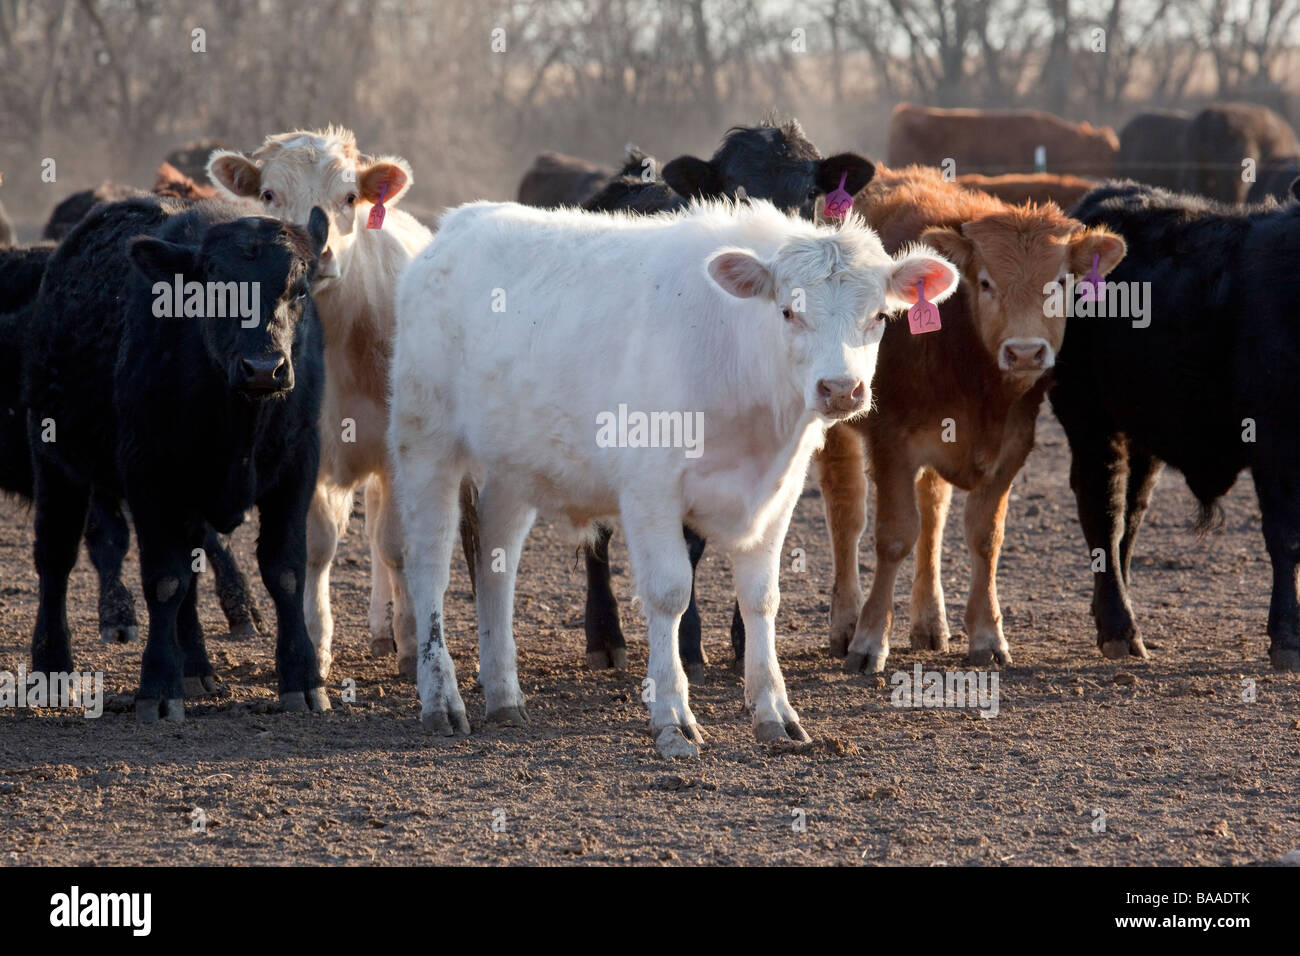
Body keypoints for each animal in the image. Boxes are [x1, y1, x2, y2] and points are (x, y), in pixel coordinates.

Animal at [23, 196, 330, 720]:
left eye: (300, 289)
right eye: (214, 292)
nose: (264, 368)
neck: (238, 422)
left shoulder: (298, 465)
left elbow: (285, 571)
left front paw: (303, 680)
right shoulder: (148, 473)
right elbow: (164, 580)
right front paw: (158, 687)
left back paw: (198, 669)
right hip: (55, 460)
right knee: (55, 560)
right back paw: (52, 669)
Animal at [207, 126, 472, 681]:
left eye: (350, 197)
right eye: (269, 194)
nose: (319, 252)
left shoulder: (397, 450)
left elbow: (395, 544)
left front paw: (411, 642)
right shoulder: (305, 451)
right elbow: (315, 548)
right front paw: (314, 641)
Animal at [389, 197, 958, 755]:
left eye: (879, 315)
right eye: (788, 310)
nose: (840, 389)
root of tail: (461, 222)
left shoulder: (779, 492)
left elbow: (762, 599)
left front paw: (774, 712)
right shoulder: (650, 490)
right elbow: (669, 594)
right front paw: (672, 716)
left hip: (514, 465)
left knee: (495, 563)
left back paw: (504, 695)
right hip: (425, 441)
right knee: (429, 566)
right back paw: (441, 699)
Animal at [574, 119, 875, 679]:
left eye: (808, 194)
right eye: (737, 194)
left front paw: (743, 644)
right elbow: (687, 549)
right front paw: (689, 648)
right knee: (596, 537)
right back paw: (604, 636)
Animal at [1050, 181, 1300, 670]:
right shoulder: (1275, 441)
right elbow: (1286, 538)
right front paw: (1288, 638)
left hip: (1140, 435)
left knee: (1130, 517)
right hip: (1090, 421)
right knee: (1104, 513)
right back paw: (1120, 629)